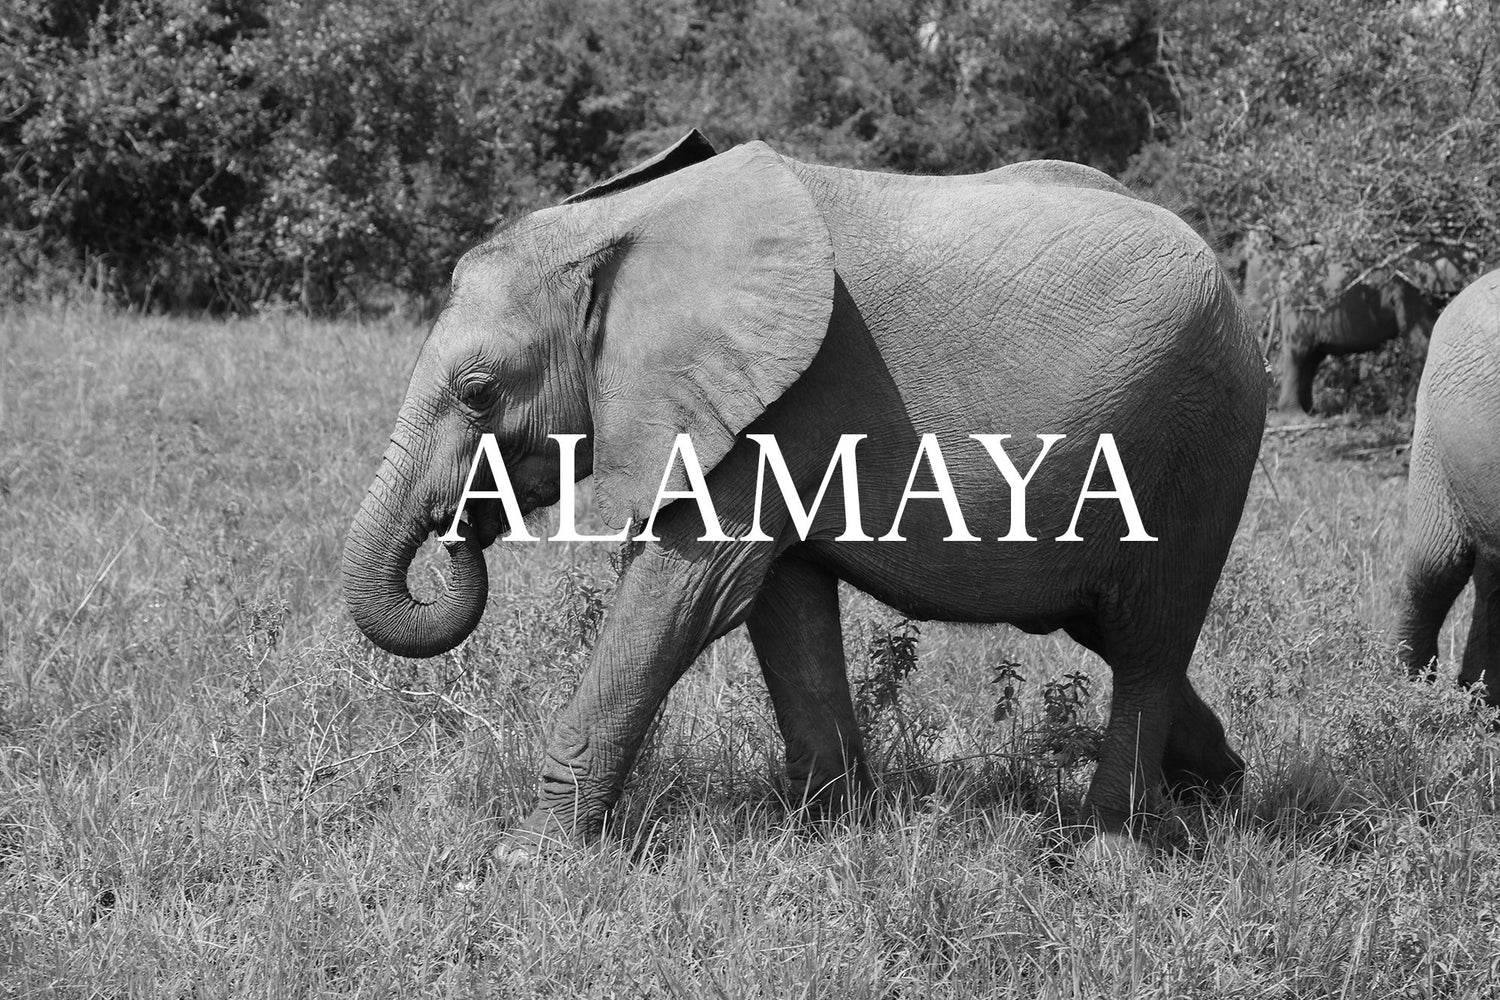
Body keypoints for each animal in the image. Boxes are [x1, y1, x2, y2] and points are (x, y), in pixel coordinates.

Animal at [341, 130, 1268, 848]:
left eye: (479, 392)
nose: (459, 525)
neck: (625, 225)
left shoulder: (776, 401)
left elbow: (687, 591)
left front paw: (528, 859)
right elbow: (782, 602)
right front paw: (832, 833)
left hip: (1198, 439)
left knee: (1148, 640)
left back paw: (1112, 849)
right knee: (1115, 629)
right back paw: (1219, 795)